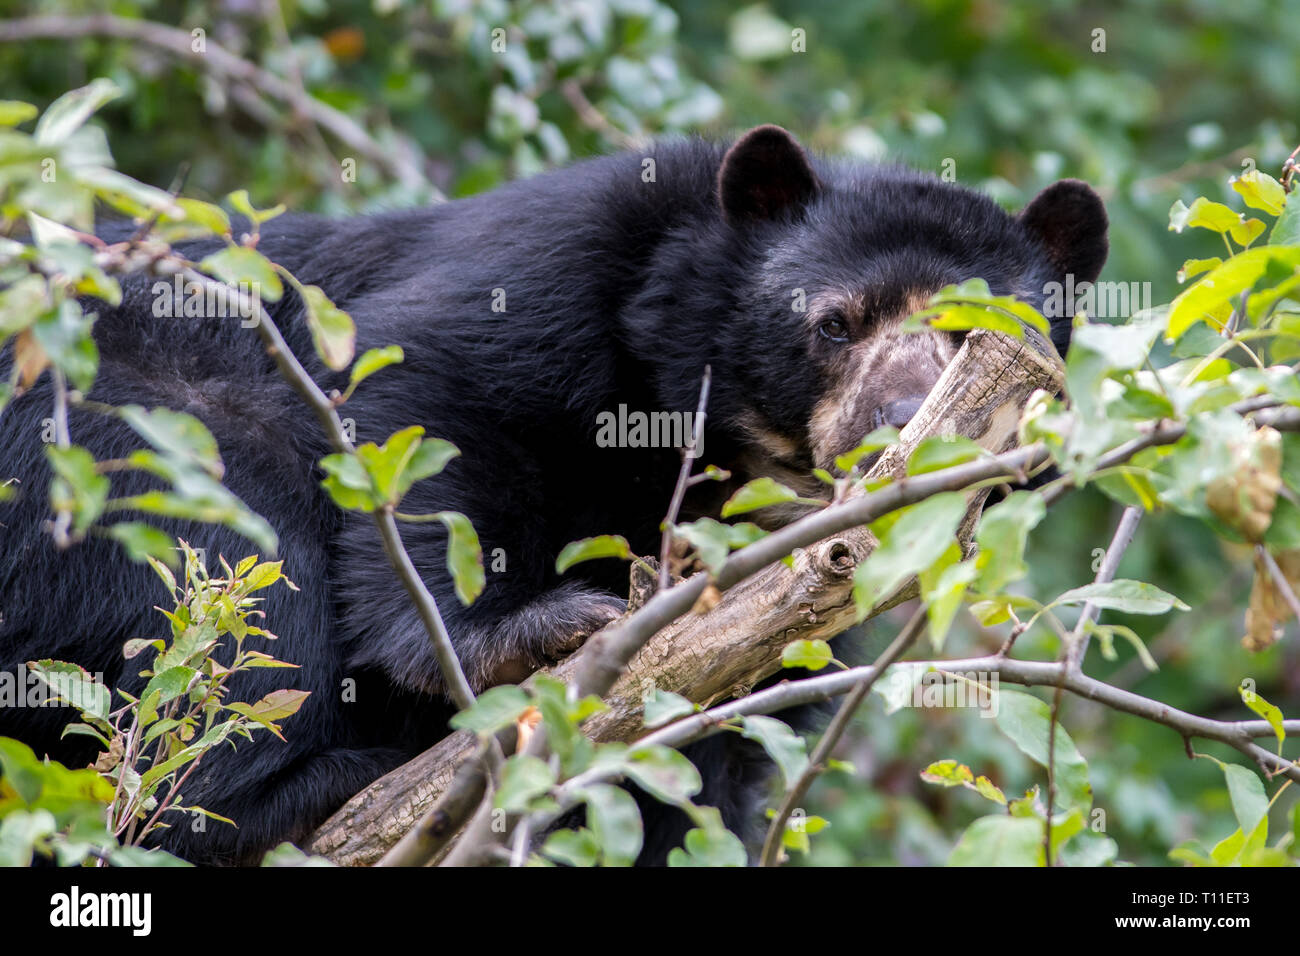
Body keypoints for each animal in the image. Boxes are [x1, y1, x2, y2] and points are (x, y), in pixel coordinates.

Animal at [0, 125, 1107, 865]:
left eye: (986, 334)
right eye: (832, 323)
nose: (901, 429)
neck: (715, 436)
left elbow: (715, 750)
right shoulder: (554, 270)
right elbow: (432, 394)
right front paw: (530, 637)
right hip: (108, 435)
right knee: (242, 556)